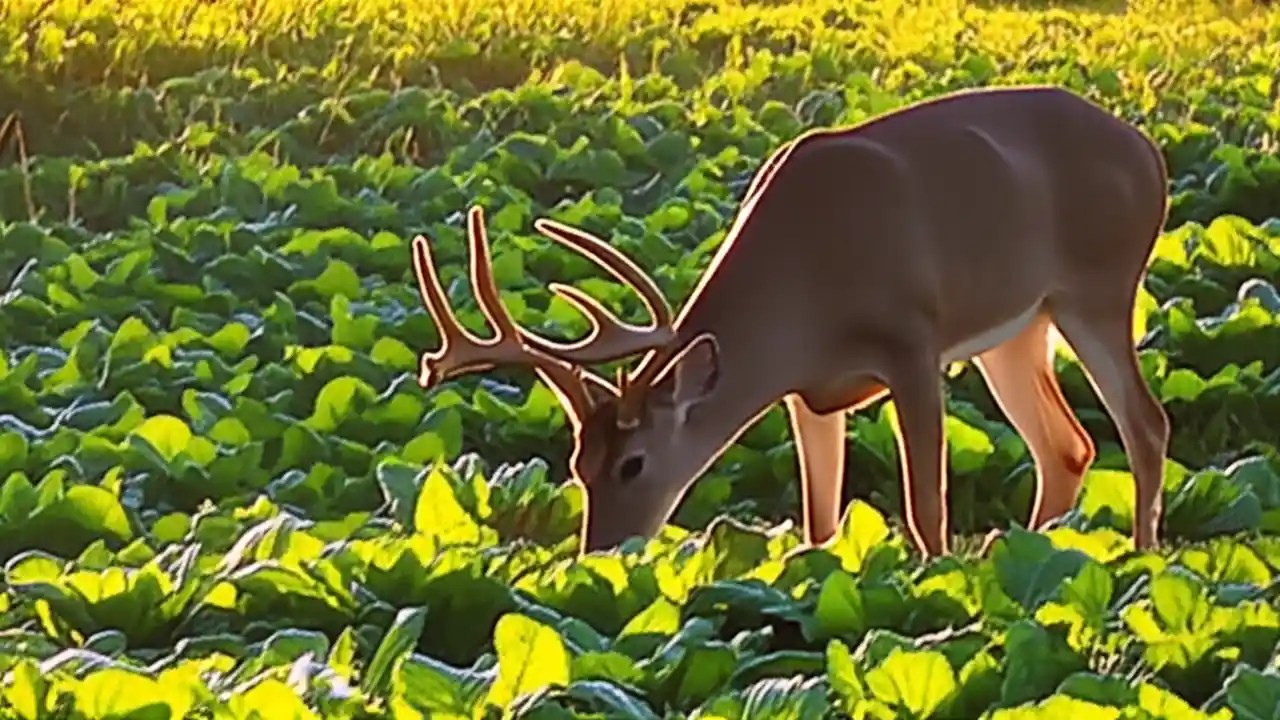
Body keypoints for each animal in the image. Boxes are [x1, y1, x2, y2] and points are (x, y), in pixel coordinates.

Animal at [407, 84, 1171, 559]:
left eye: (634, 463)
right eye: (576, 465)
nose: (597, 555)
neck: (805, 288)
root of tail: (1149, 153)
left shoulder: (911, 339)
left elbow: (925, 509)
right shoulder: (808, 391)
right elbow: (819, 524)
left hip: (1099, 287)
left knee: (1145, 423)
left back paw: (1139, 557)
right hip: (1016, 331)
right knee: (1067, 446)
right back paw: (1034, 550)